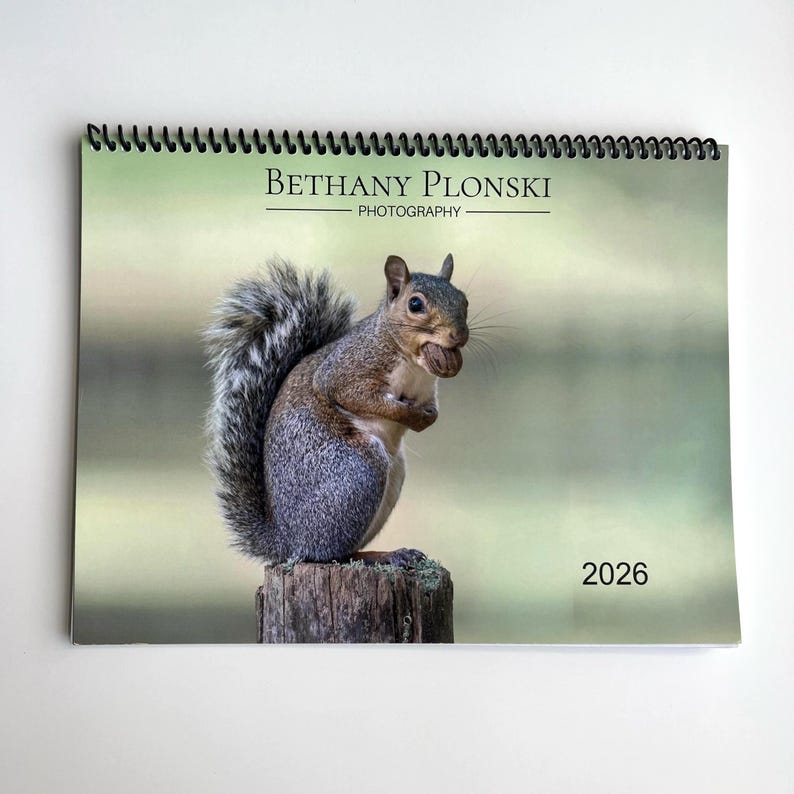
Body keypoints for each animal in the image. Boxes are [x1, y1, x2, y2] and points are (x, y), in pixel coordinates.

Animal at [205, 253, 469, 567]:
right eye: (415, 304)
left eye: (464, 300)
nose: (459, 335)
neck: (414, 363)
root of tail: (289, 541)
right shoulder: (345, 371)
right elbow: (357, 397)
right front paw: (408, 415)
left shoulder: (427, 391)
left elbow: (433, 411)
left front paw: (424, 419)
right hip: (357, 472)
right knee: (331, 554)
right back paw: (384, 555)